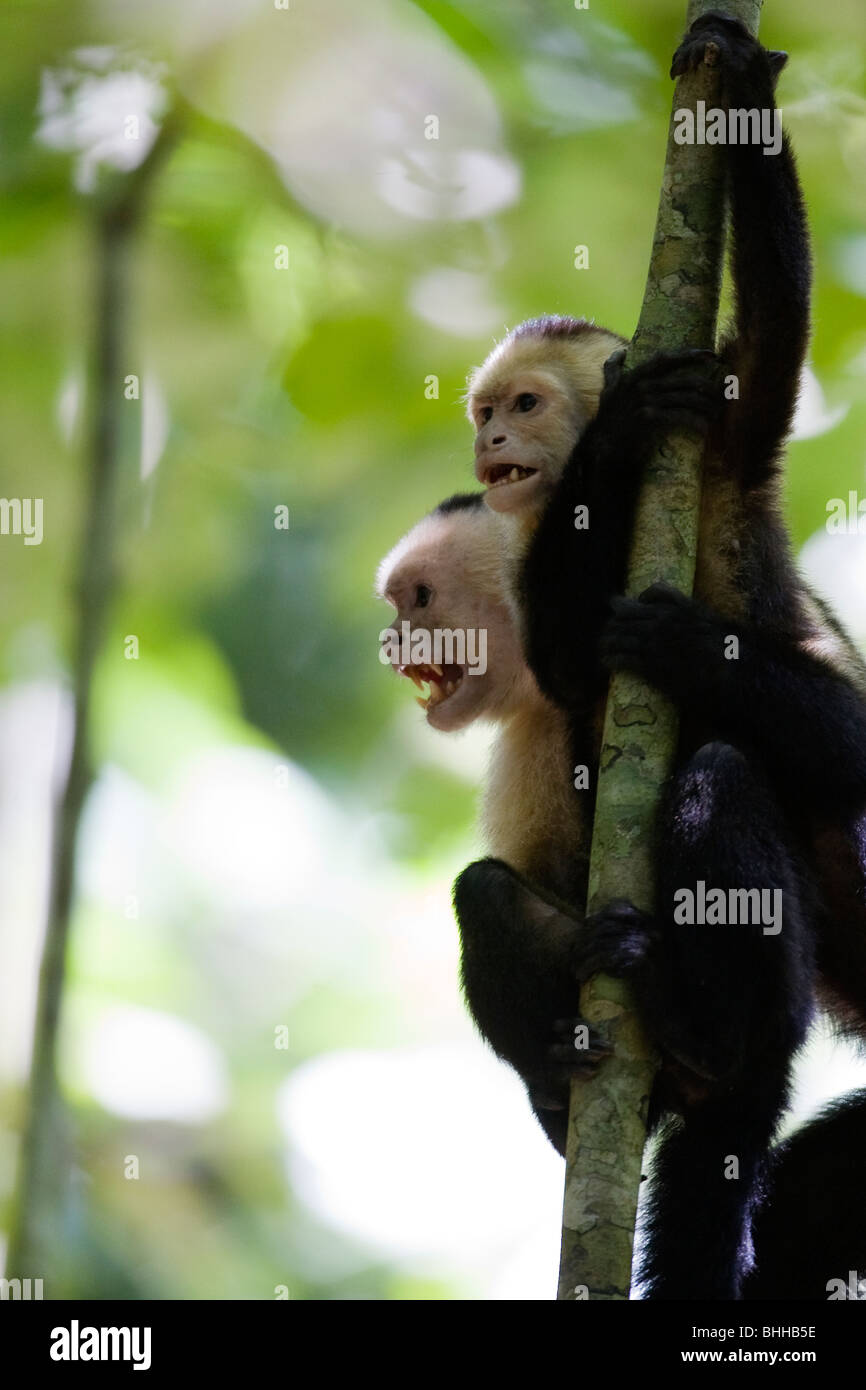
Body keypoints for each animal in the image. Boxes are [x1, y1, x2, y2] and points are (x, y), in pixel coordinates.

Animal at [451, 12, 866, 1298]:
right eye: (486, 411)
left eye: (522, 404)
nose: (484, 442)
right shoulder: (533, 541)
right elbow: (563, 664)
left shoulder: (726, 423)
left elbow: (777, 315)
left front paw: (736, 71)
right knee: (485, 893)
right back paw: (572, 1082)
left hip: (787, 1003)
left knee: (729, 776)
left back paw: (710, 1036)